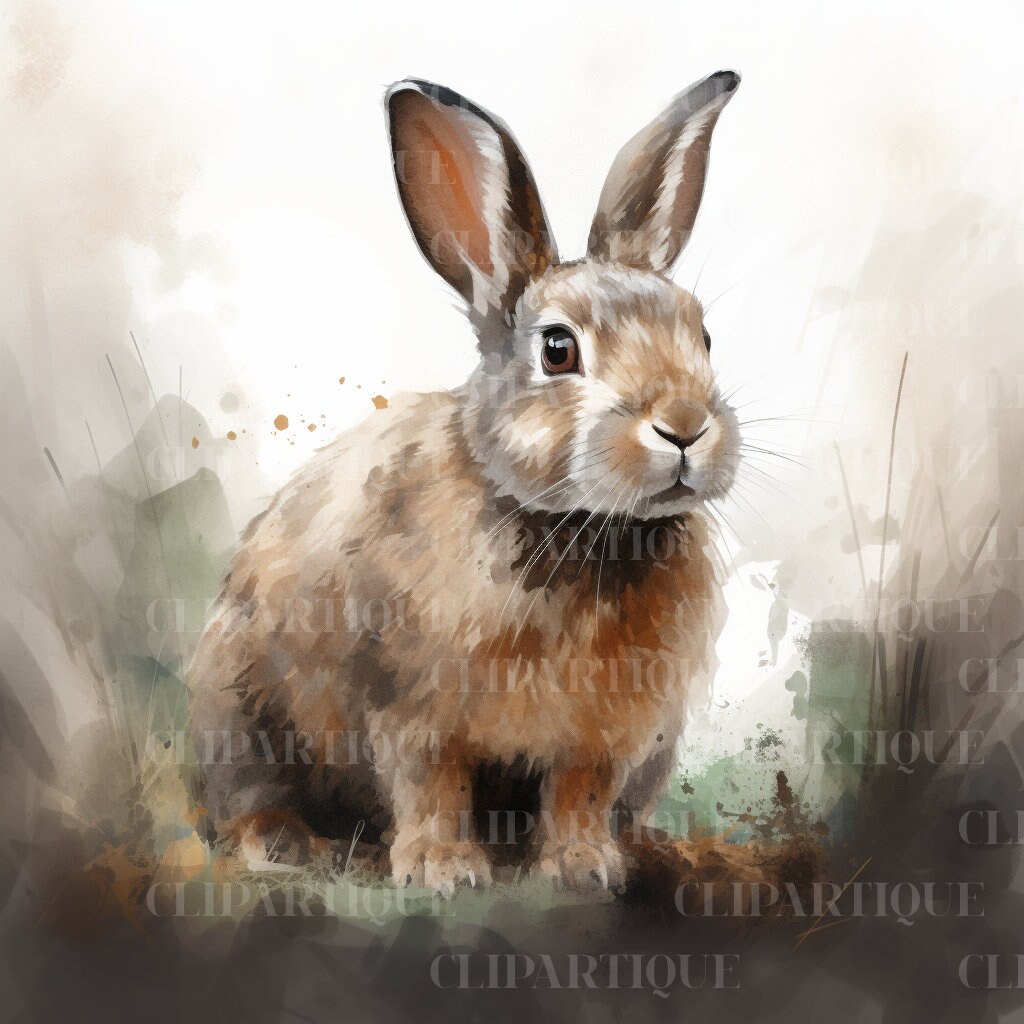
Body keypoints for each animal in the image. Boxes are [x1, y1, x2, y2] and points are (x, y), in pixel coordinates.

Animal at [185, 70, 742, 895]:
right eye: (558, 349)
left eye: (702, 336)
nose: (683, 425)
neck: (577, 529)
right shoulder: (412, 710)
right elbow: (431, 788)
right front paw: (443, 872)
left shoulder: (604, 736)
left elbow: (578, 794)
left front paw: (581, 867)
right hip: (238, 714)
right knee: (249, 804)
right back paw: (286, 846)